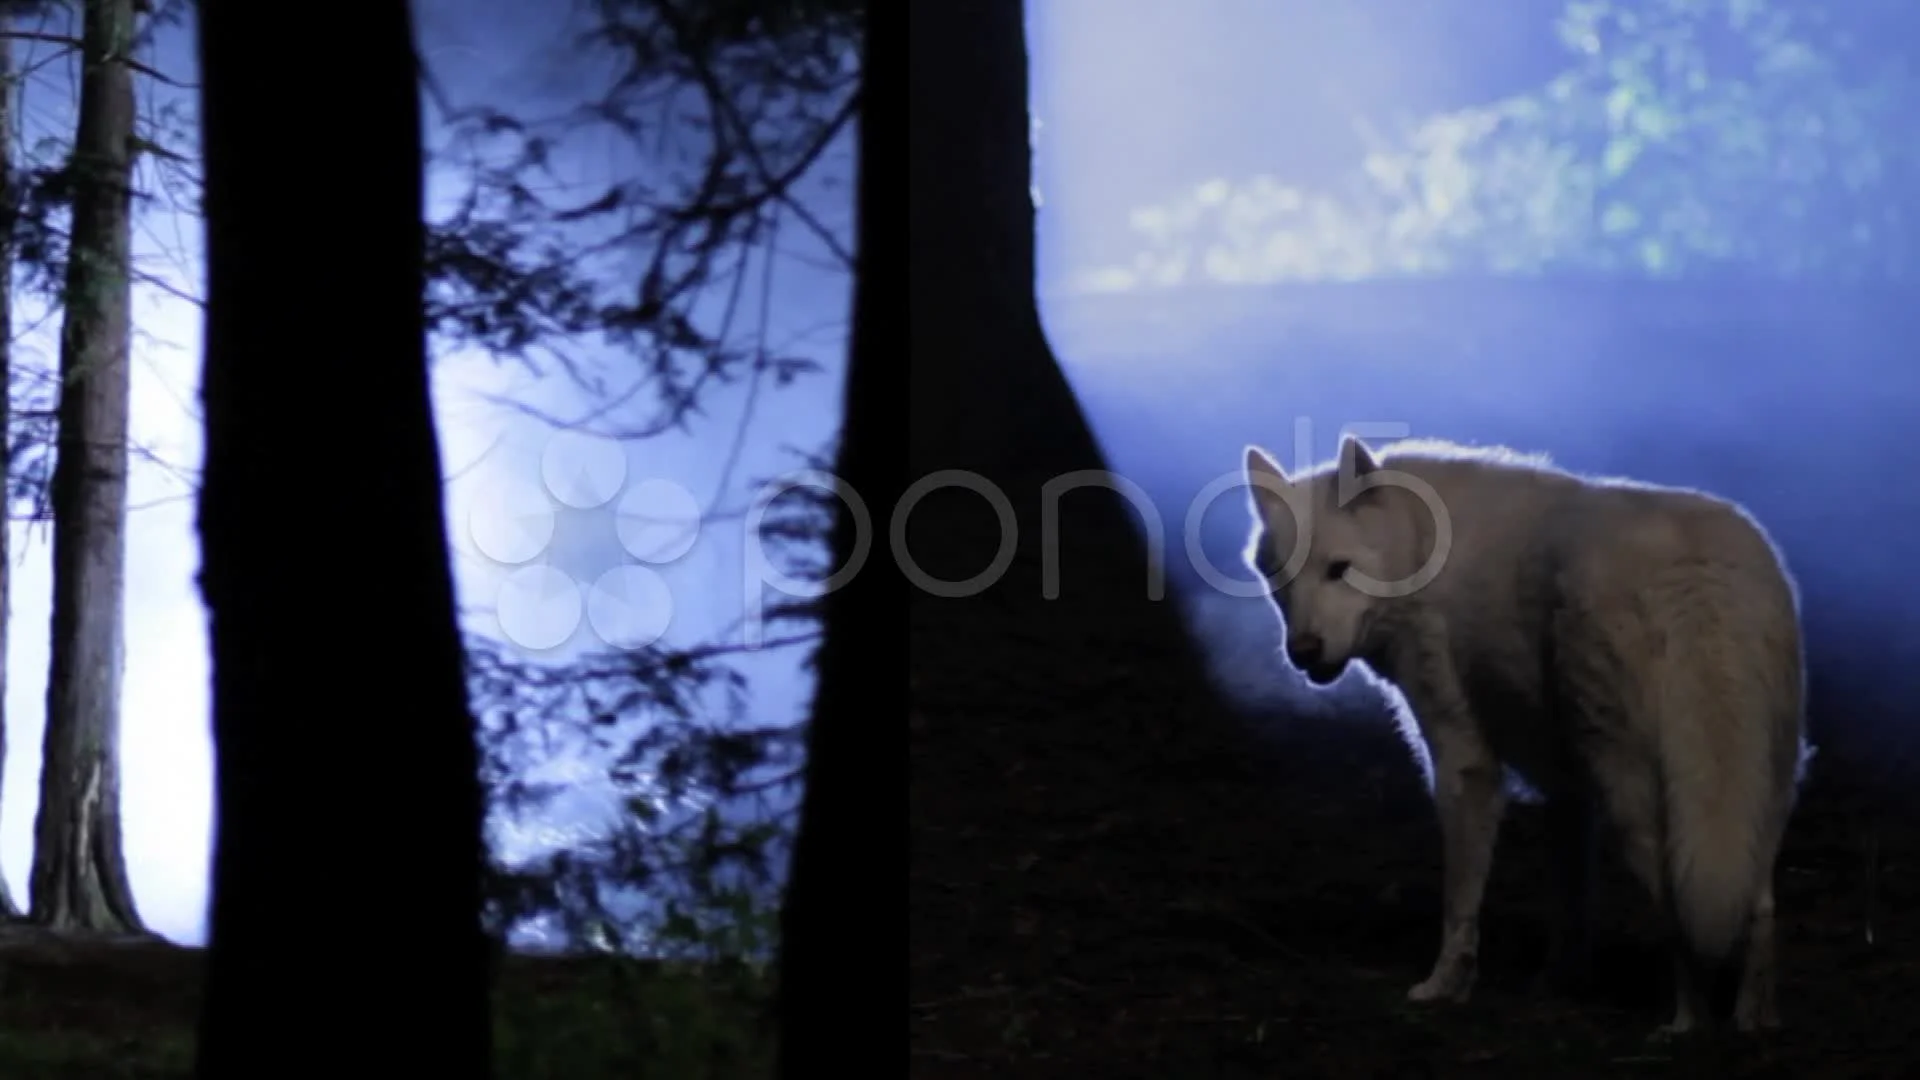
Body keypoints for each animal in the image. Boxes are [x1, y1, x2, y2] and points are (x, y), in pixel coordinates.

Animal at [1239, 434, 1809, 1038]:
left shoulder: (1466, 765)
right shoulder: (1568, 787)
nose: (1303, 652)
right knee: (1758, 908)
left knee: (1686, 919)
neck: (1419, 549)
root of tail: (1695, 573)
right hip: (1755, 801)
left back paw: (1685, 1026)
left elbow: (1460, 906)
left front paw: (1445, 987)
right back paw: (1755, 1021)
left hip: (1637, 803)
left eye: (1338, 570)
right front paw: (1562, 981)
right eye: (1280, 580)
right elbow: (1572, 904)